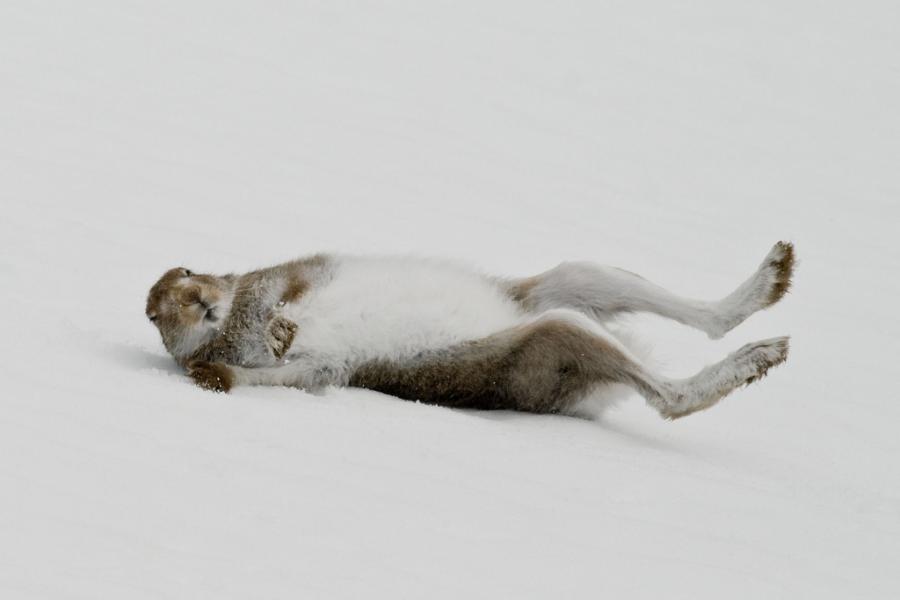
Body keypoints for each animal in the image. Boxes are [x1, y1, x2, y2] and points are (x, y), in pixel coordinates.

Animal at [146, 242, 793, 419]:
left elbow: (286, 305)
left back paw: (772, 280)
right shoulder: (311, 373)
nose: (197, 301)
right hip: (558, 327)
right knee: (674, 400)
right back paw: (760, 355)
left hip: (576, 281)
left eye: (186, 272)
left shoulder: (294, 279)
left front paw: (280, 327)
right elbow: (242, 374)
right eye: (155, 316)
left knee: (706, 320)